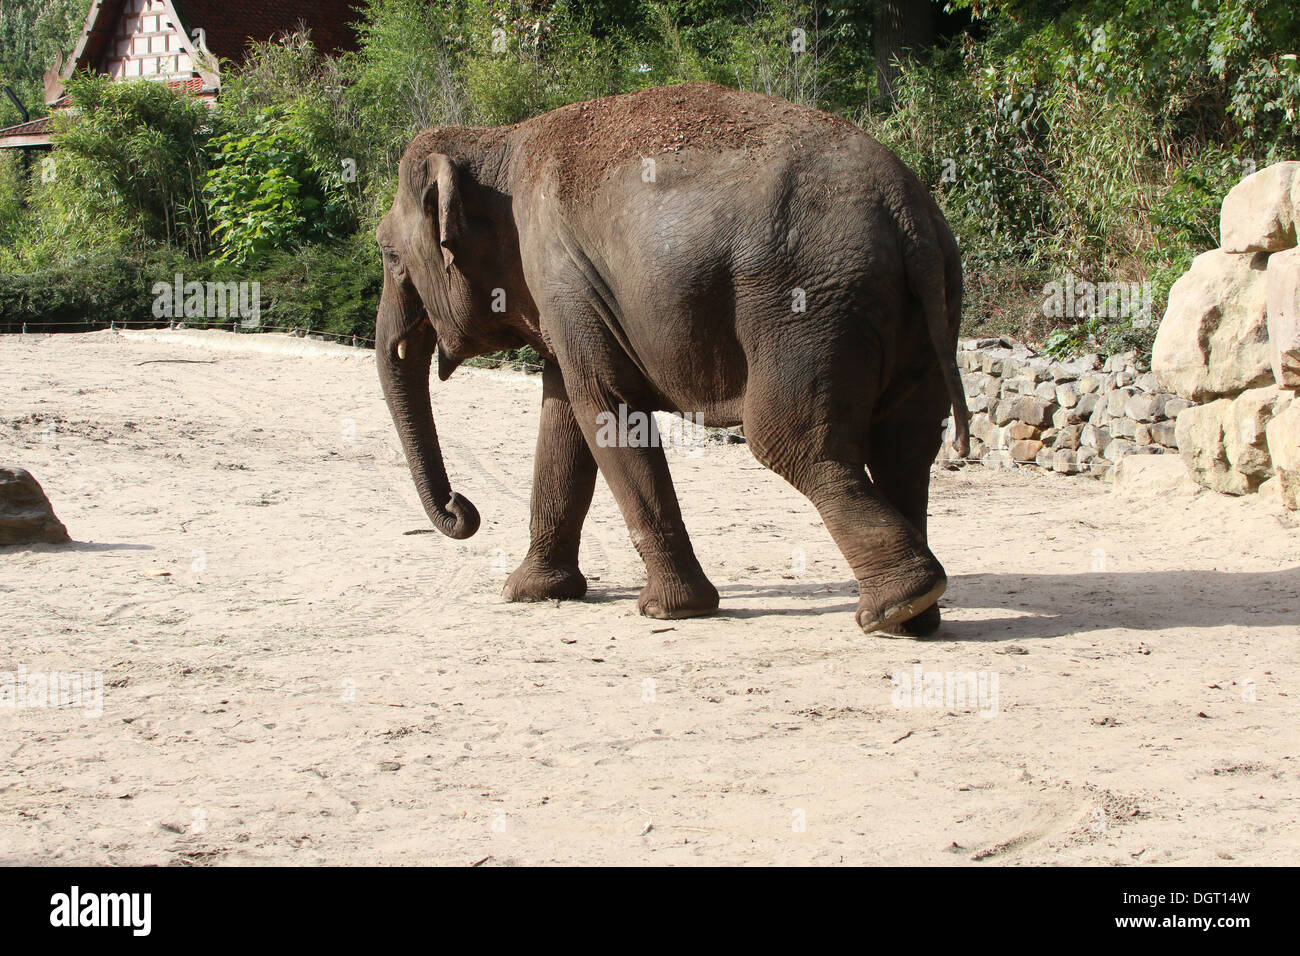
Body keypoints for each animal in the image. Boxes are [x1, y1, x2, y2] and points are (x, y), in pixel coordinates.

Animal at [374, 82, 969, 636]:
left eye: (388, 253)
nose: (462, 508)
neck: (496, 140)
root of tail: (907, 209)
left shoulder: (563, 277)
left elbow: (605, 407)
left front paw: (669, 609)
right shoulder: (569, 295)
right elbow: (563, 416)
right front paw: (530, 592)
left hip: (808, 305)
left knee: (792, 441)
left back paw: (894, 606)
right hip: (924, 303)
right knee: (904, 447)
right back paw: (916, 618)